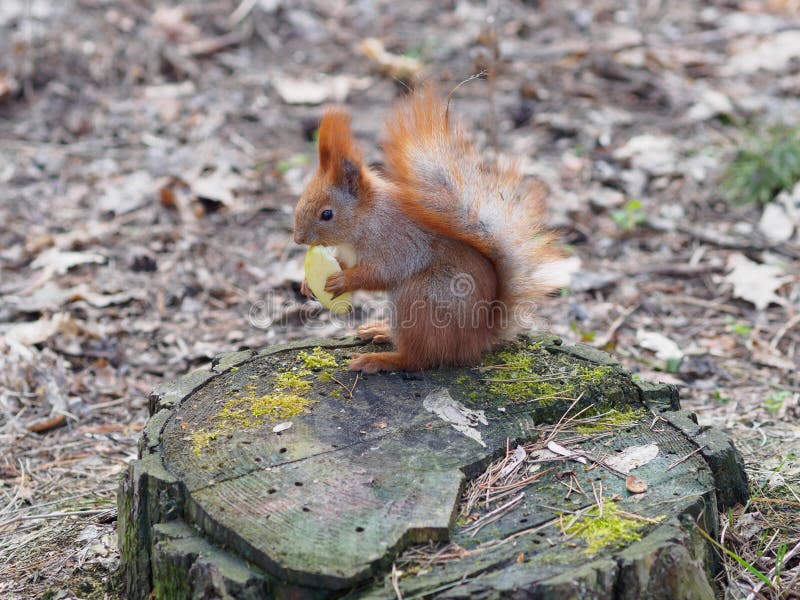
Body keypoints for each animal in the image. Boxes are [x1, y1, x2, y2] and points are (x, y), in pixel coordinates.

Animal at [293, 90, 558, 373]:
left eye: (327, 214)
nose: (297, 238)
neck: (365, 221)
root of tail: (477, 339)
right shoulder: (348, 252)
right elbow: (344, 263)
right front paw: (307, 284)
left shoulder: (396, 242)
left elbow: (380, 273)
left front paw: (343, 280)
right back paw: (381, 331)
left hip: (420, 300)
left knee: (418, 358)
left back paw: (379, 359)